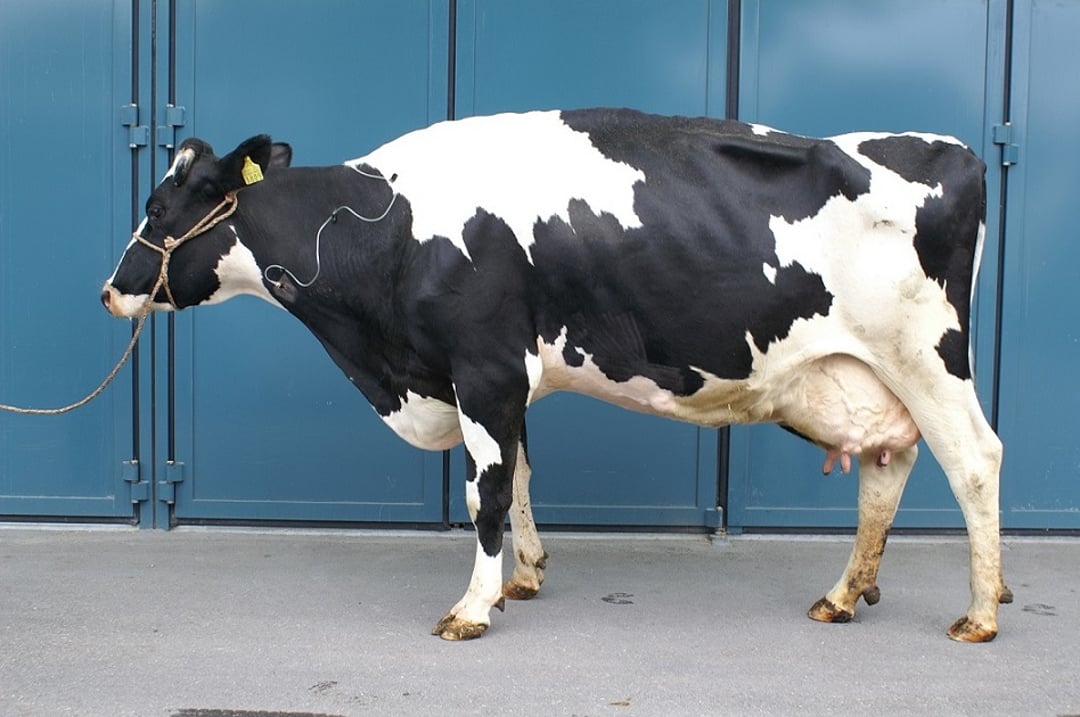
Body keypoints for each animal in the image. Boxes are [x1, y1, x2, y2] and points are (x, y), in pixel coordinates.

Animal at [102, 108, 1011, 642]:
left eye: (157, 208)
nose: (112, 289)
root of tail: (950, 148)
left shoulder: (481, 366)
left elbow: (486, 490)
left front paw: (472, 606)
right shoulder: (503, 375)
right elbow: (522, 472)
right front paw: (523, 578)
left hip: (927, 355)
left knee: (974, 459)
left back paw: (979, 609)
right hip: (869, 372)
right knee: (888, 468)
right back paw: (847, 592)